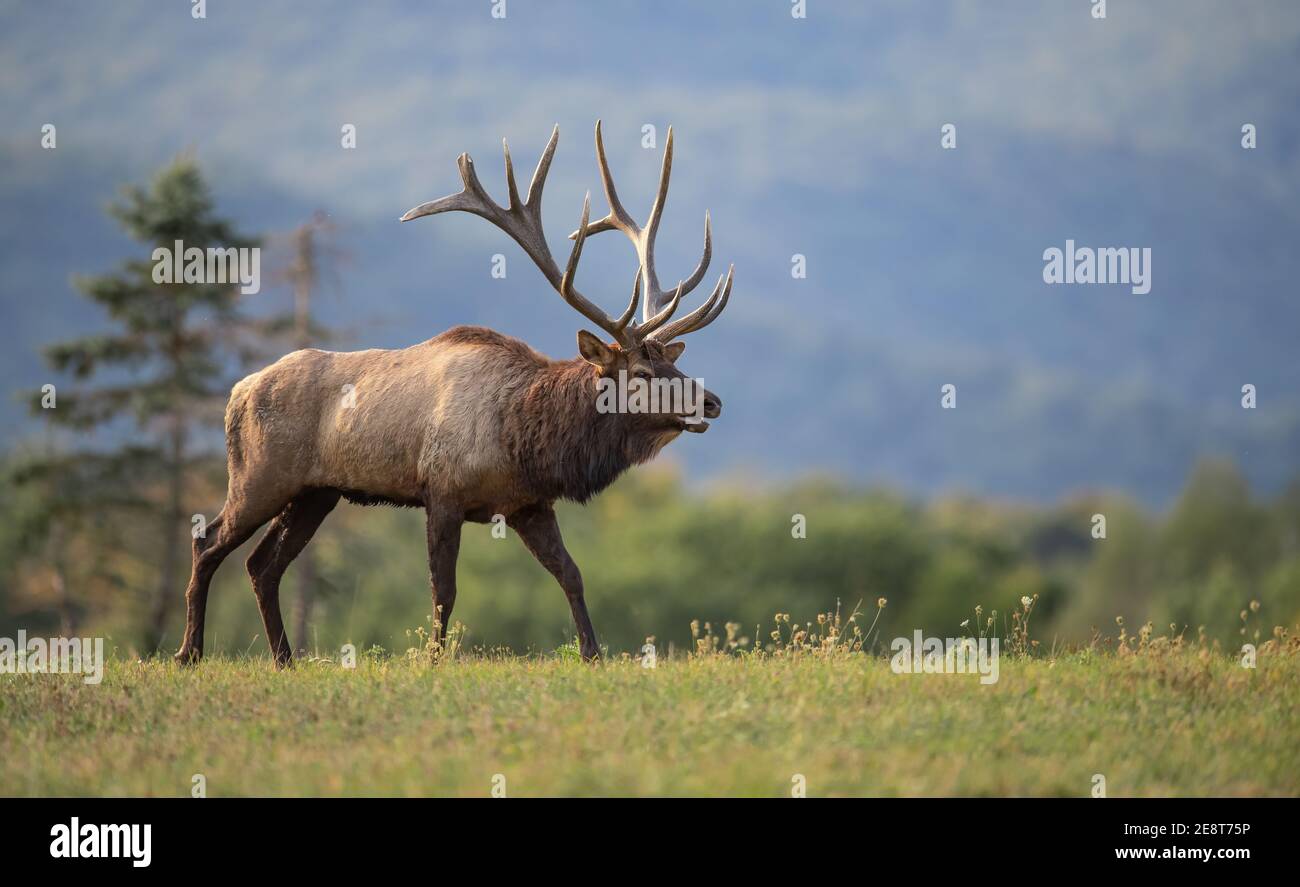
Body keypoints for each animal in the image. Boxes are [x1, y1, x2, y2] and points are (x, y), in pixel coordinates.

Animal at [174, 121, 732, 666]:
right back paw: (189, 652)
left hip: (315, 492)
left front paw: (593, 654)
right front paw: (435, 659)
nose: (712, 402)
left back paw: (285, 658)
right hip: (259, 477)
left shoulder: (529, 504)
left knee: (261, 565)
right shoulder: (441, 491)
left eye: (672, 362)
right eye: (640, 371)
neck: (526, 436)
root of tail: (237, 392)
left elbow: (571, 574)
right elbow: (444, 589)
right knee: (208, 541)